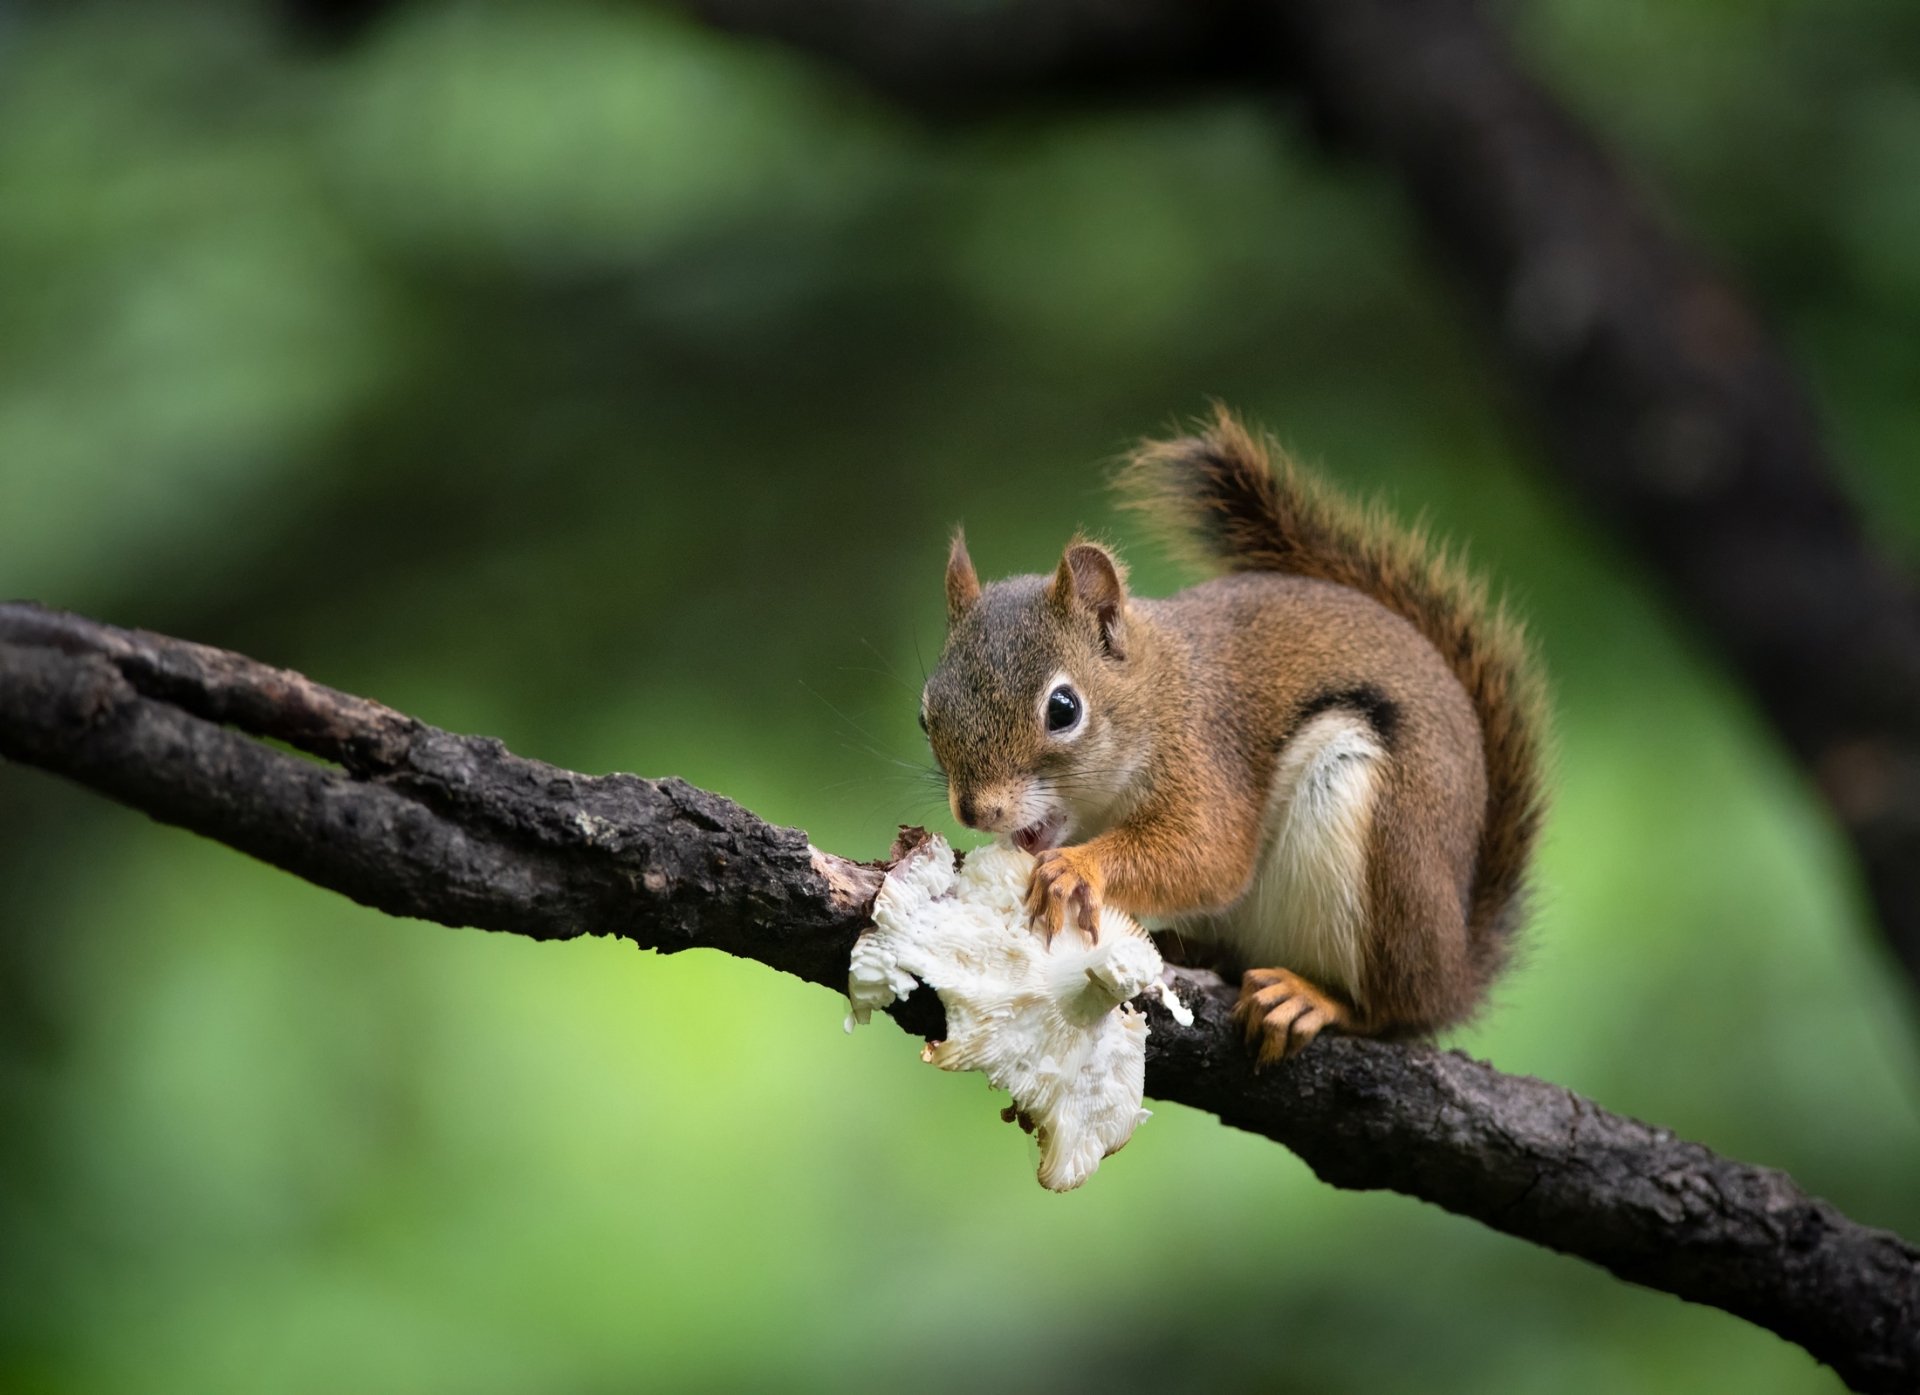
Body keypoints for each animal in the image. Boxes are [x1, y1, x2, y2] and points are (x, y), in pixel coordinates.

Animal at [918, 406, 1547, 1063]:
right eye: (925, 713)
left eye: (1063, 709)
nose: (976, 811)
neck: (1160, 693)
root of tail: (1454, 971)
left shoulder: (1207, 756)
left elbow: (1208, 854)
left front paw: (1074, 869)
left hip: (1383, 851)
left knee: (1389, 1009)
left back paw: (1312, 999)